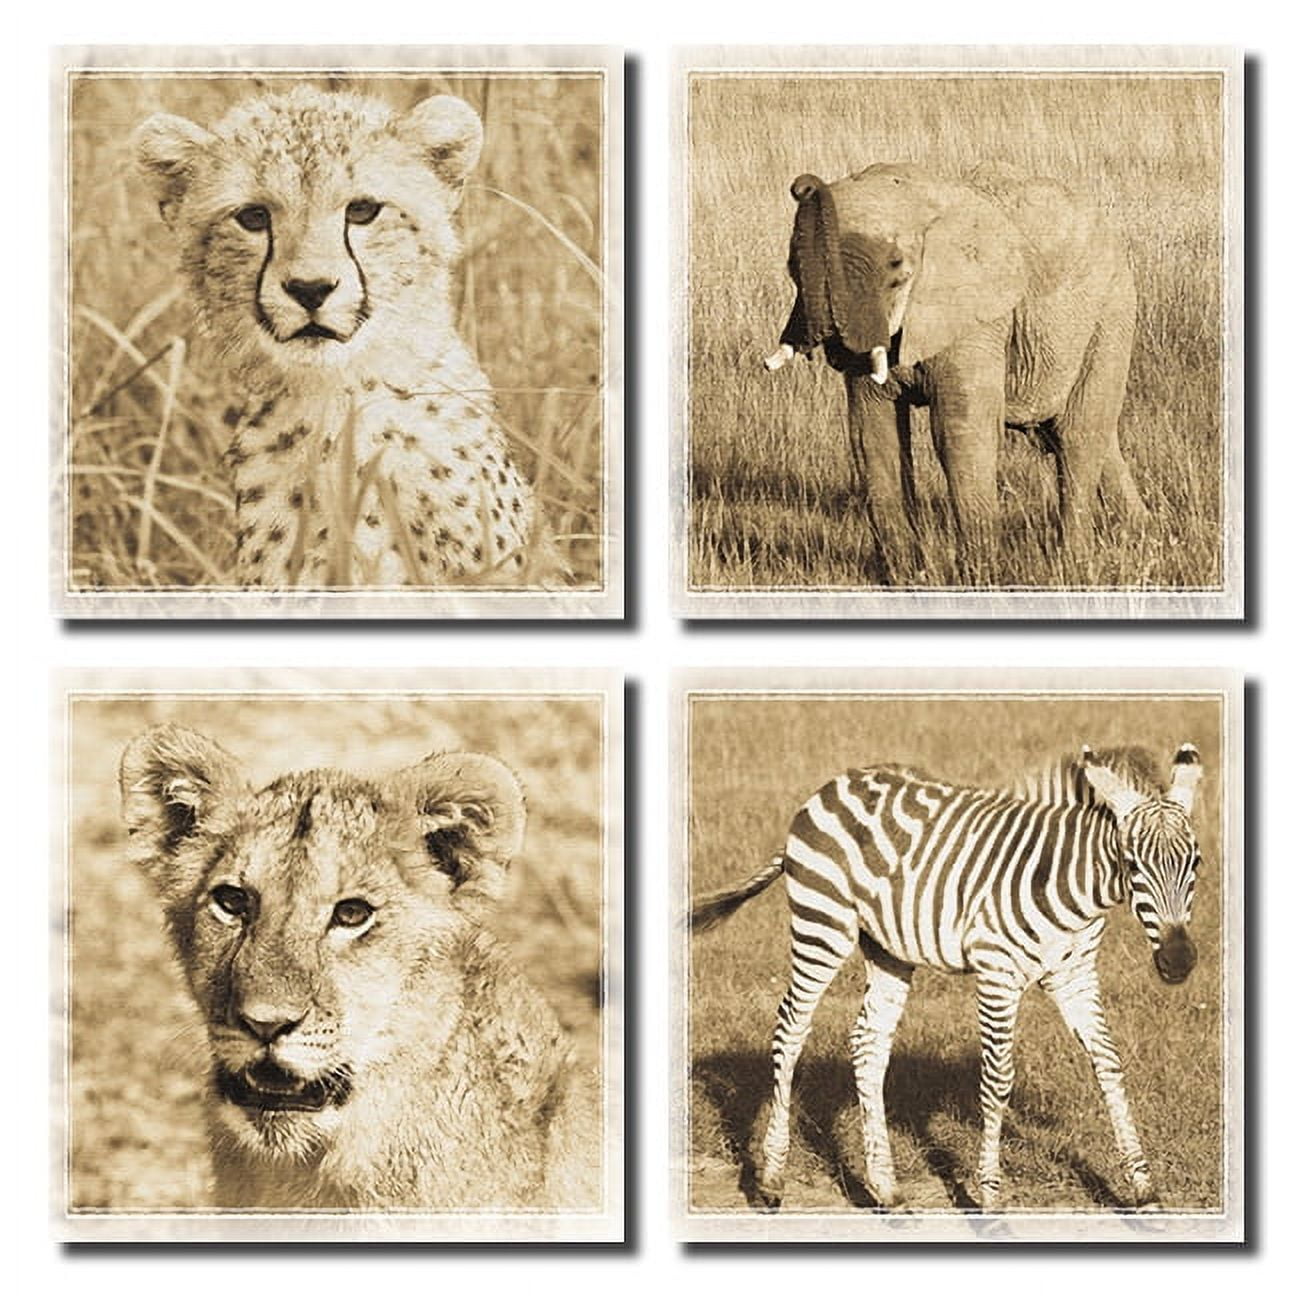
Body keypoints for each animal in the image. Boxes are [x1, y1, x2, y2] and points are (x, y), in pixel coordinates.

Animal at [691, 743, 1205, 1212]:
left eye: (1196, 862)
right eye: (1133, 864)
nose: (1178, 961)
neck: (1072, 886)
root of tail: (830, 785)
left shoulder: (1075, 976)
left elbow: (1109, 1064)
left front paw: (1143, 1189)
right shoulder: (997, 973)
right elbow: (997, 1080)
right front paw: (991, 1196)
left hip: (887, 947)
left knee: (868, 1041)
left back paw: (886, 1190)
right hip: (823, 924)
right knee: (791, 1029)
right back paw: (771, 1182)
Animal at [764, 163, 1148, 581]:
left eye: (896, 265)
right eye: (790, 266)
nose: (803, 186)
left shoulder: (977, 316)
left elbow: (958, 430)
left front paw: (978, 579)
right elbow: (873, 431)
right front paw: (906, 580)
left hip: (1110, 315)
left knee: (1079, 435)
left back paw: (1073, 566)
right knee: (1086, 435)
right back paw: (1140, 531)